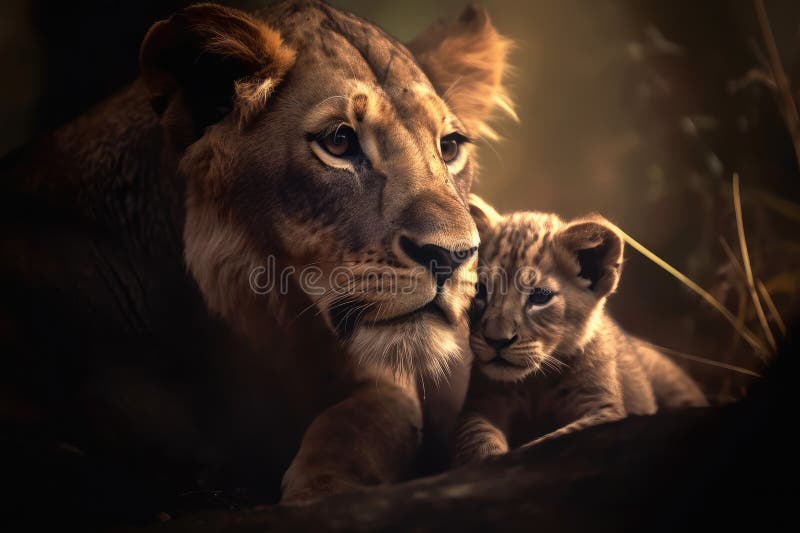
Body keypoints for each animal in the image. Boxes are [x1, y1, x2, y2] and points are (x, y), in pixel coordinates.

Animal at [0, 0, 514, 515]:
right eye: (340, 141)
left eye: (448, 147)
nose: (453, 255)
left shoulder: (378, 382)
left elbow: (359, 428)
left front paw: (319, 492)